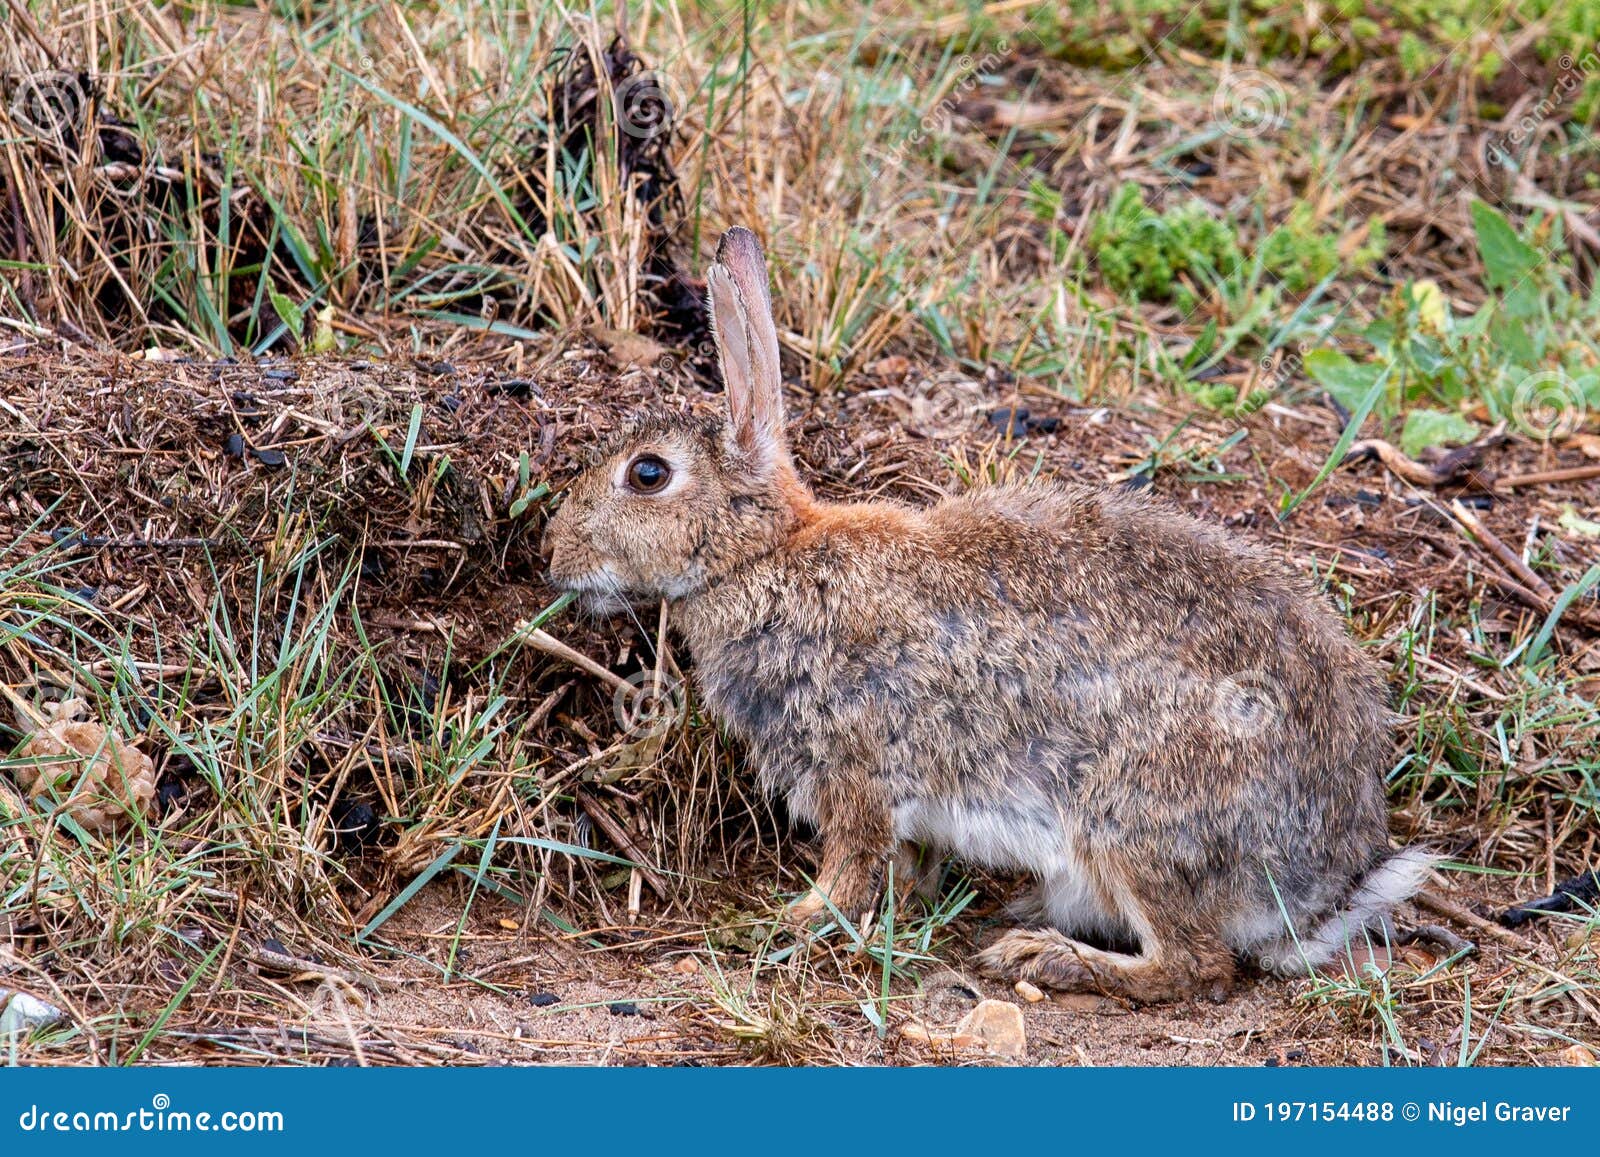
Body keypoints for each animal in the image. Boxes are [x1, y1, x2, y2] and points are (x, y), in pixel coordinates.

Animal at [541, 226, 1433, 1003]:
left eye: (647, 473)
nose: (555, 558)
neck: (764, 557)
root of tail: (1314, 888)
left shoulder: (854, 765)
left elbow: (852, 865)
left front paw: (789, 920)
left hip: (1135, 823)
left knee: (1195, 965)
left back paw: (1043, 955)